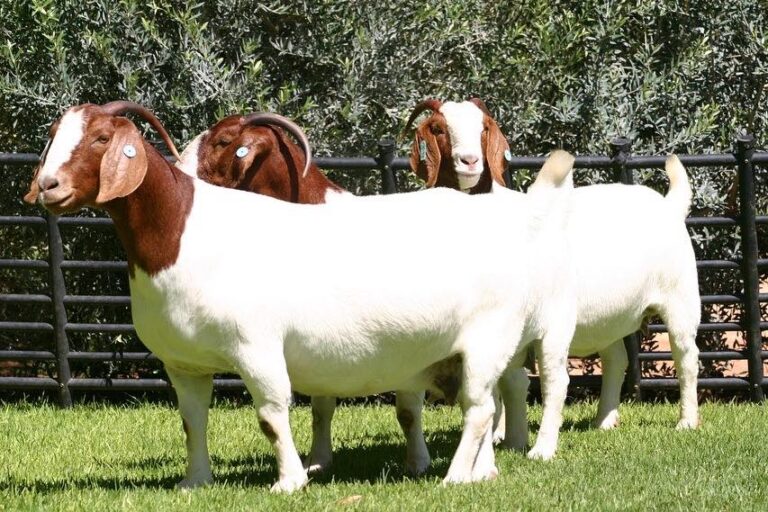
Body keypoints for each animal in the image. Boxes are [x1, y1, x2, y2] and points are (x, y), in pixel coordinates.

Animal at [25, 102, 578, 492]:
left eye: (101, 138)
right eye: (53, 137)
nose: (49, 185)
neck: (182, 230)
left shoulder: (258, 346)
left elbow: (272, 415)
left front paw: (289, 481)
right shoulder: (183, 362)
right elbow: (191, 420)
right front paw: (194, 481)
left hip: (496, 337)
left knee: (488, 405)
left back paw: (460, 475)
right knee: (482, 404)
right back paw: (479, 470)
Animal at [405, 99, 701, 454]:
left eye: (484, 127)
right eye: (438, 128)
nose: (470, 161)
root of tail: (670, 205)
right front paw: (502, 436)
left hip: (680, 297)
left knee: (686, 355)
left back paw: (686, 422)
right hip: (608, 317)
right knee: (616, 358)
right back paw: (604, 420)